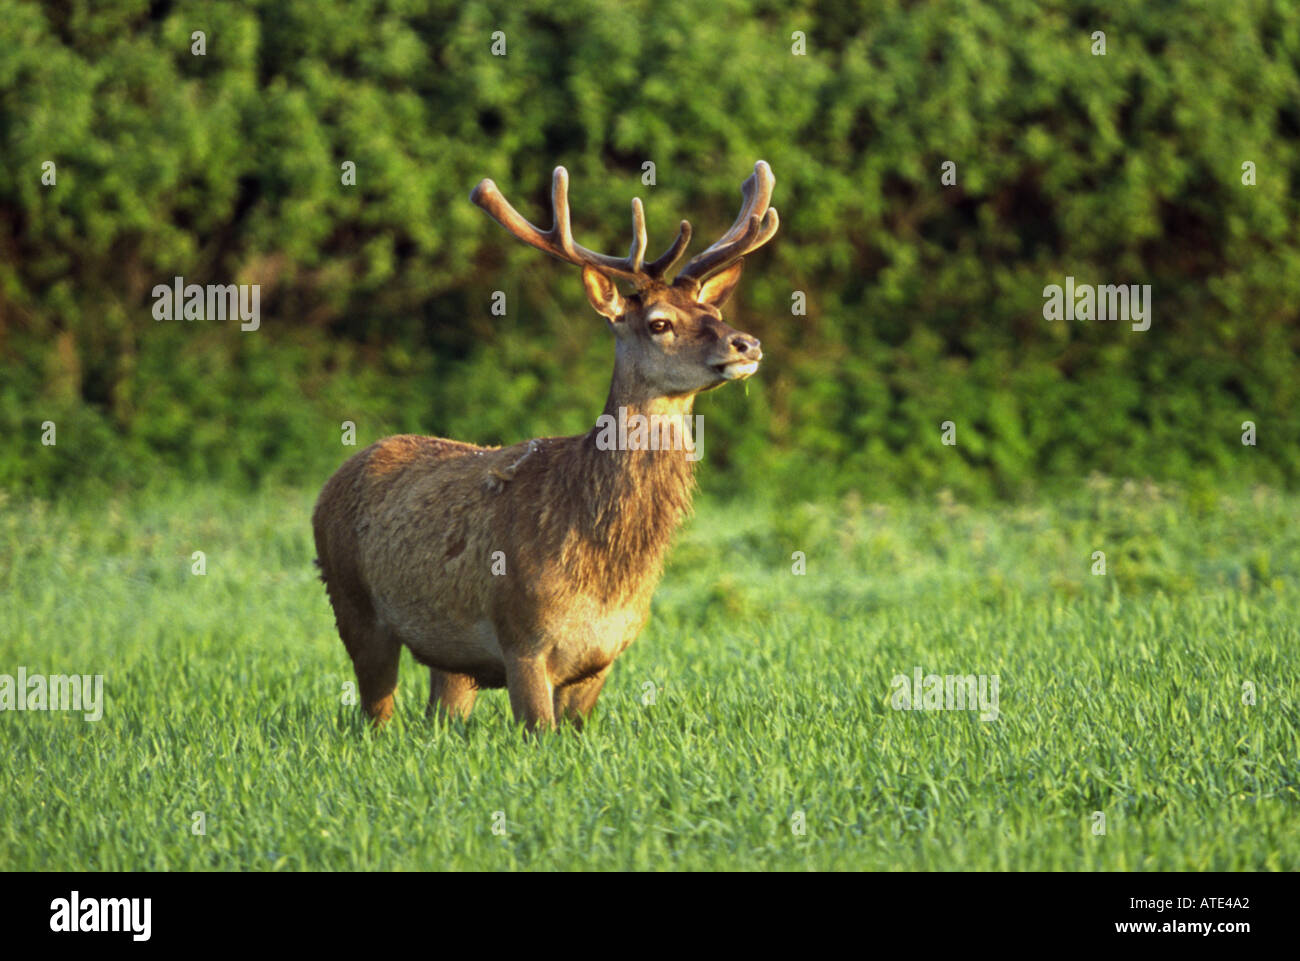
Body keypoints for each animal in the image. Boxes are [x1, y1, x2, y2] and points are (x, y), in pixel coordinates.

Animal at [312, 161, 778, 732]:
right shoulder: (522, 638)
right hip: (352, 603)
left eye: (711, 308)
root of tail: (338, 475)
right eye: (659, 323)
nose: (747, 344)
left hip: (450, 657)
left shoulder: (604, 656)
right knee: (375, 714)